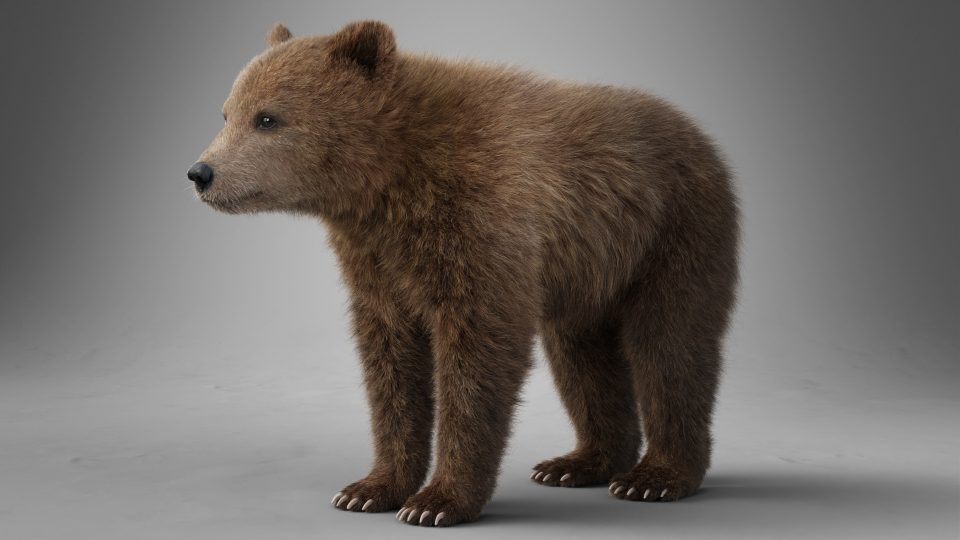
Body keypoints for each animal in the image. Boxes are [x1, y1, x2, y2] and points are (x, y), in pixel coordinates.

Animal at [187, 20, 739, 527]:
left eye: (267, 118)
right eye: (226, 112)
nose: (201, 173)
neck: (388, 178)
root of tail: (701, 135)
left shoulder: (479, 219)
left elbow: (477, 356)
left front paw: (436, 501)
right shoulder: (377, 260)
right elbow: (389, 363)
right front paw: (368, 489)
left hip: (673, 233)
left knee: (668, 346)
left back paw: (655, 477)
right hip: (589, 273)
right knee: (580, 354)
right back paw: (577, 463)